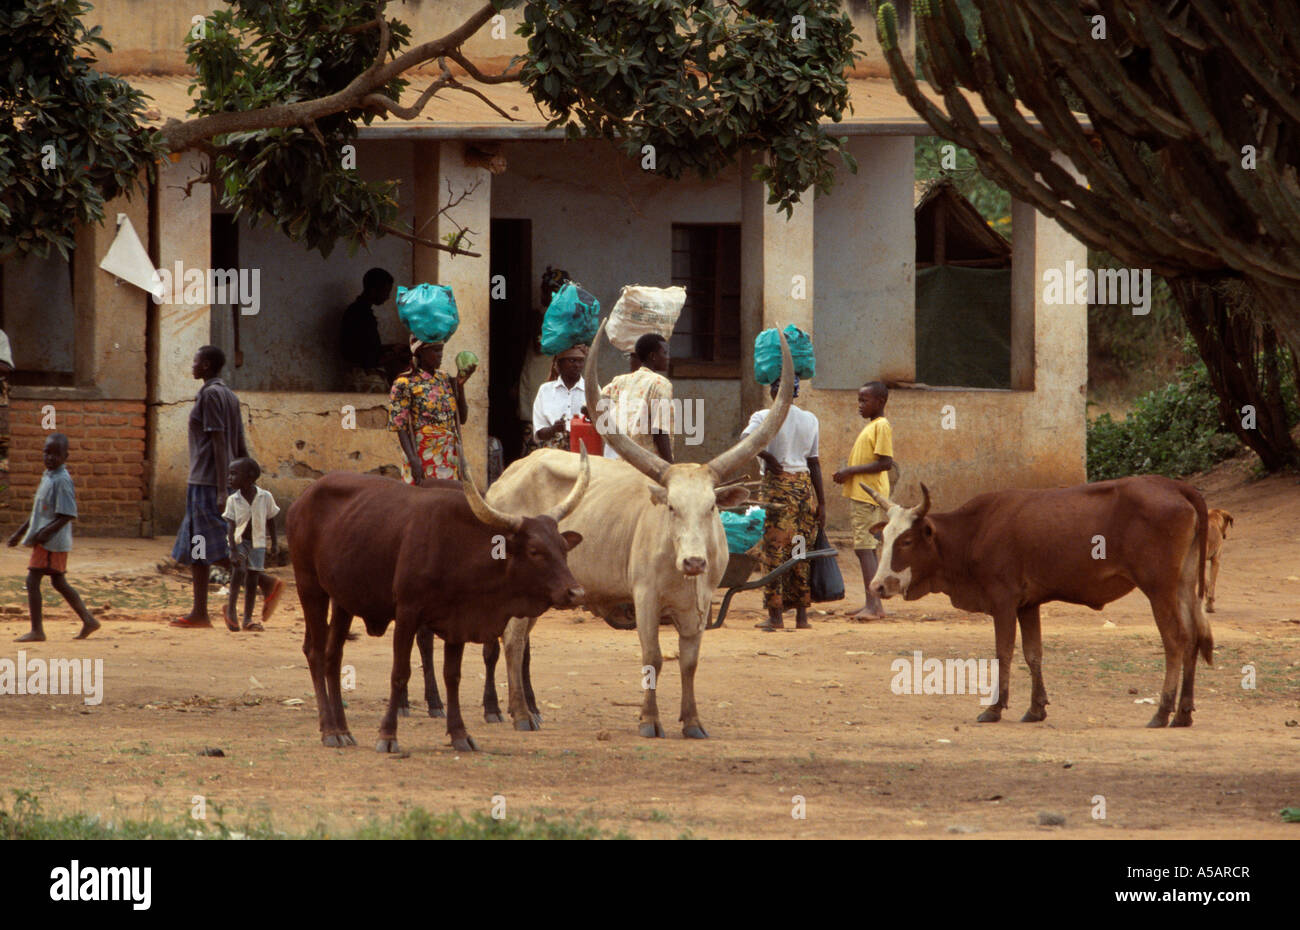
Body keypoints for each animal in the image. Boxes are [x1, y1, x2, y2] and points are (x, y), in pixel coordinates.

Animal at [286, 449, 590, 752]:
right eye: (535, 551)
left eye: (563, 548)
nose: (576, 593)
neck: (457, 547)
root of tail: (304, 497)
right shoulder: (407, 612)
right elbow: (400, 673)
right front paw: (388, 735)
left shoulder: (458, 621)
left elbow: (452, 676)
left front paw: (459, 734)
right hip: (309, 586)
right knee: (315, 652)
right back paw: (329, 730)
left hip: (343, 600)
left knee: (333, 656)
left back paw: (343, 729)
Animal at [483, 322, 796, 738]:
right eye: (671, 507)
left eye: (711, 507)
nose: (694, 562)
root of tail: (505, 478)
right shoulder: (645, 599)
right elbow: (653, 657)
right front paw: (649, 720)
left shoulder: (701, 603)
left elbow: (689, 662)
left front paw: (692, 722)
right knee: (513, 640)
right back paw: (518, 713)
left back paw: (524, 709)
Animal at [863, 476, 1213, 728]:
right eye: (884, 537)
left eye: (907, 541)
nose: (878, 586)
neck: (974, 531)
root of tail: (1175, 486)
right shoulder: (1028, 605)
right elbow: (1033, 654)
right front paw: (1035, 708)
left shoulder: (1003, 600)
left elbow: (1003, 652)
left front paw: (995, 707)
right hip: (1183, 585)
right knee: (1193, 638)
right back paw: (1183, 713)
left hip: (1159, 588)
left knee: (1175, 641)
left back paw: (1163, 711)